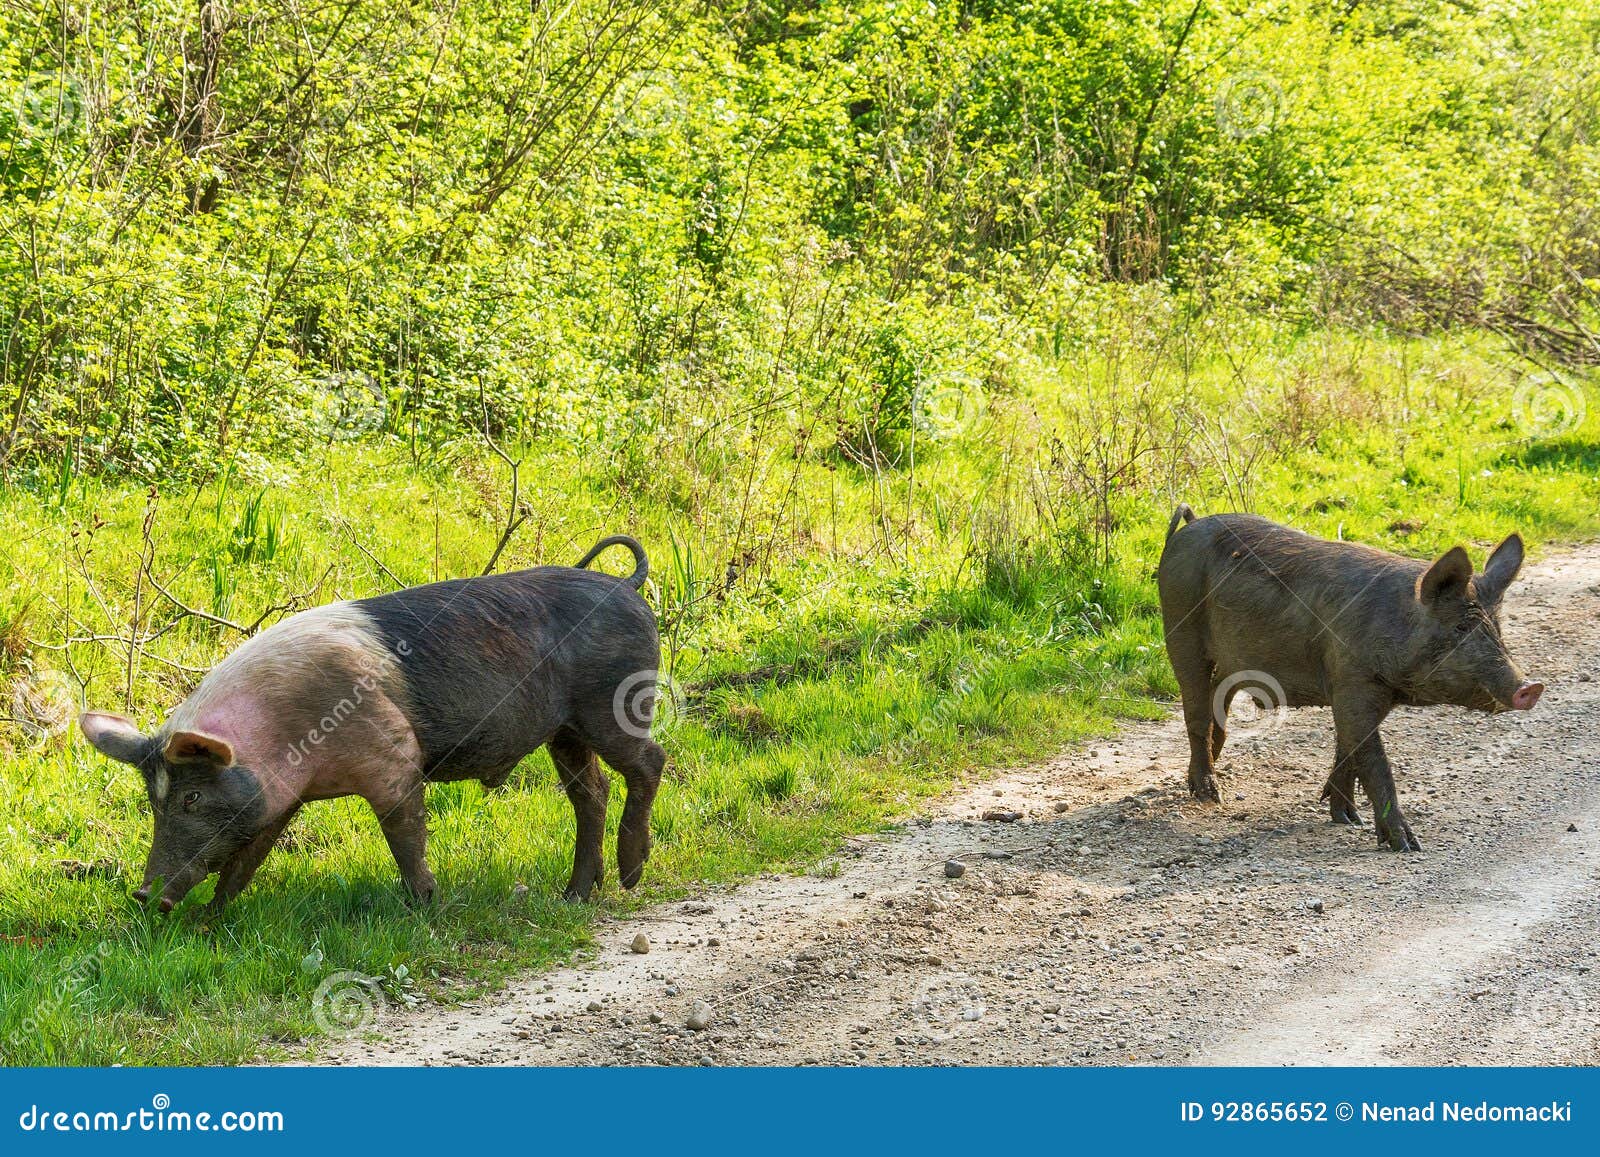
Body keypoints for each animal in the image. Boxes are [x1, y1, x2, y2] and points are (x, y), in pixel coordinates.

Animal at [78, 535, 665, 911]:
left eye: (191, 798)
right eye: (153, 802)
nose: (143, 895)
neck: (289, 735)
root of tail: (626, 586)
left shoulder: (393, 757)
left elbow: (404, 837)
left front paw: (426, 907)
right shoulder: (280, 798)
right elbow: (247, 858)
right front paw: (209, 923)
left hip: (612, 703)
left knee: (649, 763)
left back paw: (630, 875)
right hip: (563, 731)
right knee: (591, 792)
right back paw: (575, 897)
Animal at [1157, 506, 1543, 851]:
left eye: (1497, 628)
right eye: (1461, 627)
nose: (1531, 687)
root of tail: (1187, 529)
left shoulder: (1363, 694)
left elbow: (1348, 748)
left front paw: (1346, 818)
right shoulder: (1353, 682)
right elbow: (1374, 760)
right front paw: (1408, 846)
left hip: (1229, 660)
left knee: (1217, 707)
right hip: (1180, 631)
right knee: (1196, 713)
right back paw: (1211, 795)